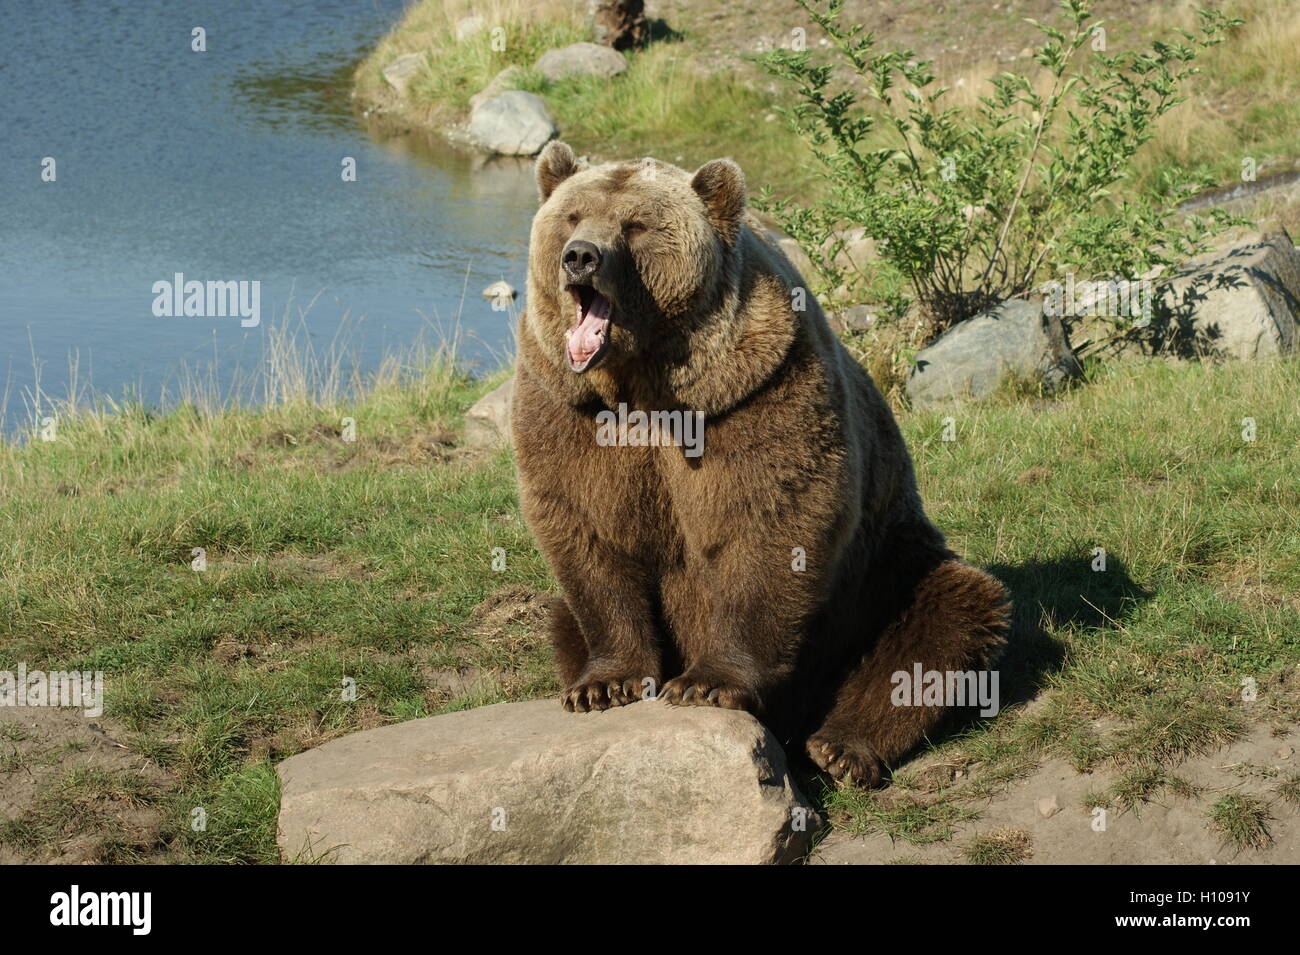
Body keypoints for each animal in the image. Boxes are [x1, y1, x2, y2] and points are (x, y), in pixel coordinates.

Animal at [511, 140, 1011, 787]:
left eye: (636, 225)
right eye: (571, 217)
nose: (580, 257)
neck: (645, 379)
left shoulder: (757, 389)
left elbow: (773, 518)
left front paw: (707, 684)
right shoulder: (570, 407)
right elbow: (588, 529)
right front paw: (603, 685)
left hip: (884, 572)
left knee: (946, 616)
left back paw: (843, 746)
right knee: (561, 617)